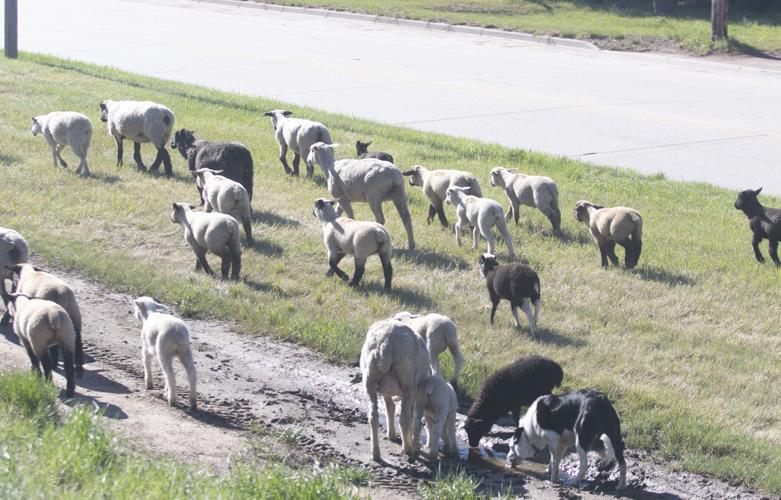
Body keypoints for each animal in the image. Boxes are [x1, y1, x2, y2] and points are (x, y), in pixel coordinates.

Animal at [360, 318, 431, 462]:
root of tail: (387, 343)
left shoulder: (386, 391)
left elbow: (389, 408)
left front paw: (391, 434)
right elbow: (409, 416)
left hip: (369, 378)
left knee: (373, 416)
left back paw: (375, 453)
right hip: (408, 381)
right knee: (404, 418)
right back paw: (407, 448)